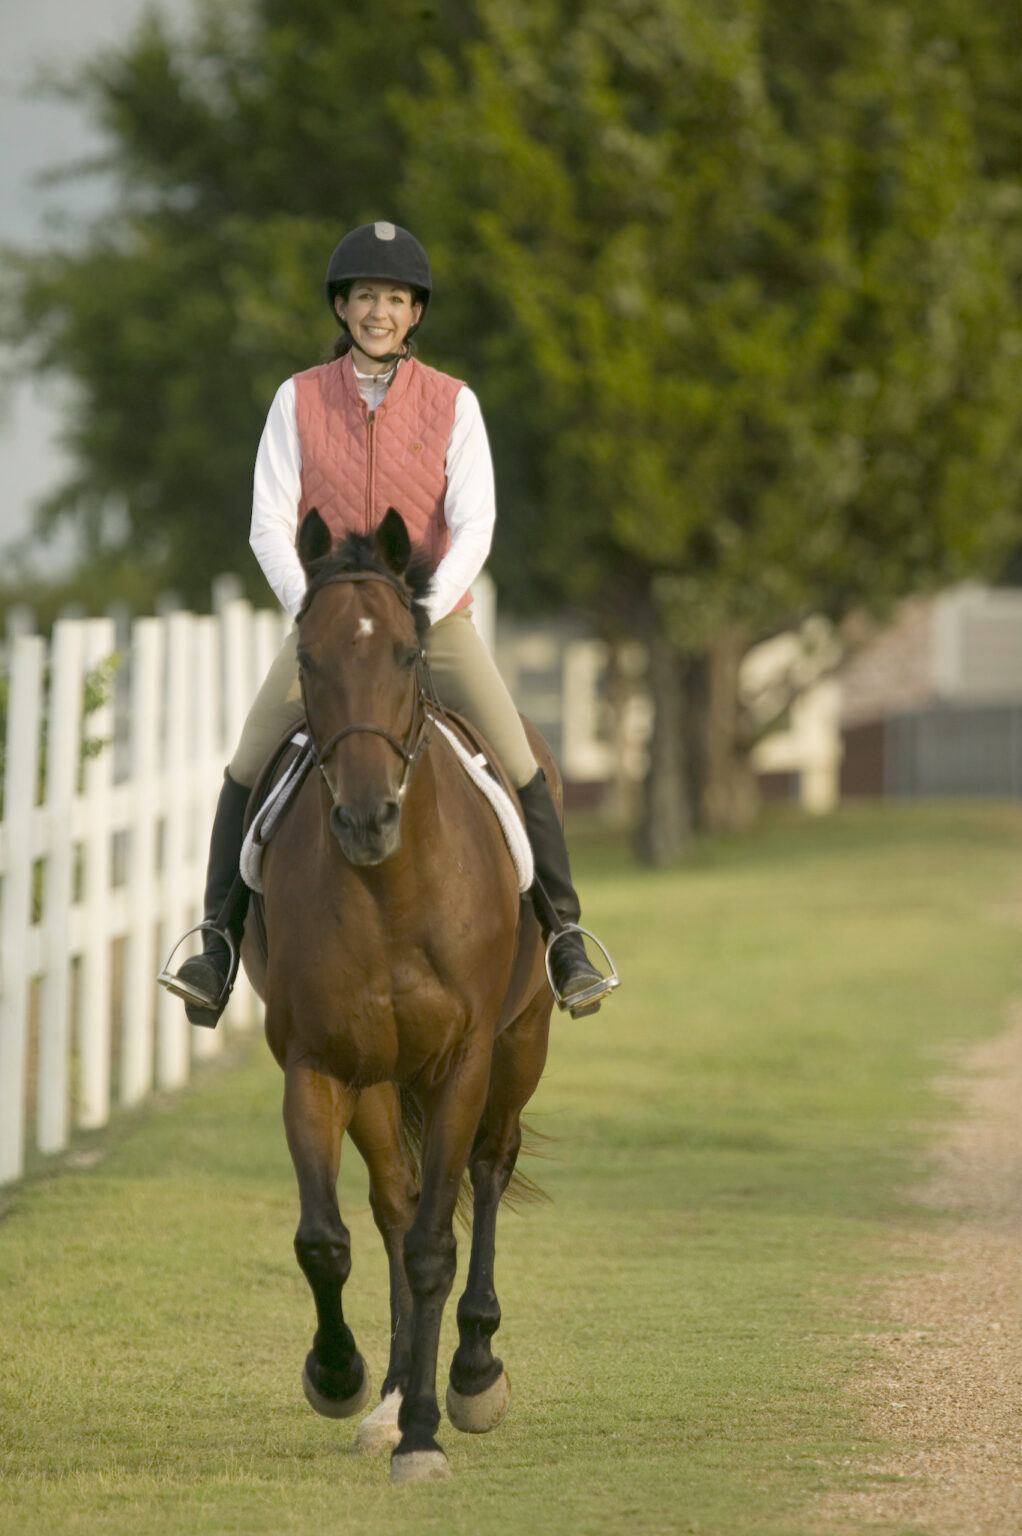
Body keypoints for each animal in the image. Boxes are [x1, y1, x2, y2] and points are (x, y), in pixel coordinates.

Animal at [241, 507, 556, 1485]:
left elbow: (432, 1247)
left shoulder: (462, 1063)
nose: (366, 819)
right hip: (380, 1079)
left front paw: (425, 1431)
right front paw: (340, 1377)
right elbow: (327, 1237)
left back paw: (473, 1370)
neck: (389, 889)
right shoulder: (317, 1066)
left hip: (520, 1047)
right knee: (394, 1198)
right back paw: (382, 1399)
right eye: (308, 659)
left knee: (486, 1172)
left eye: (408, 655)